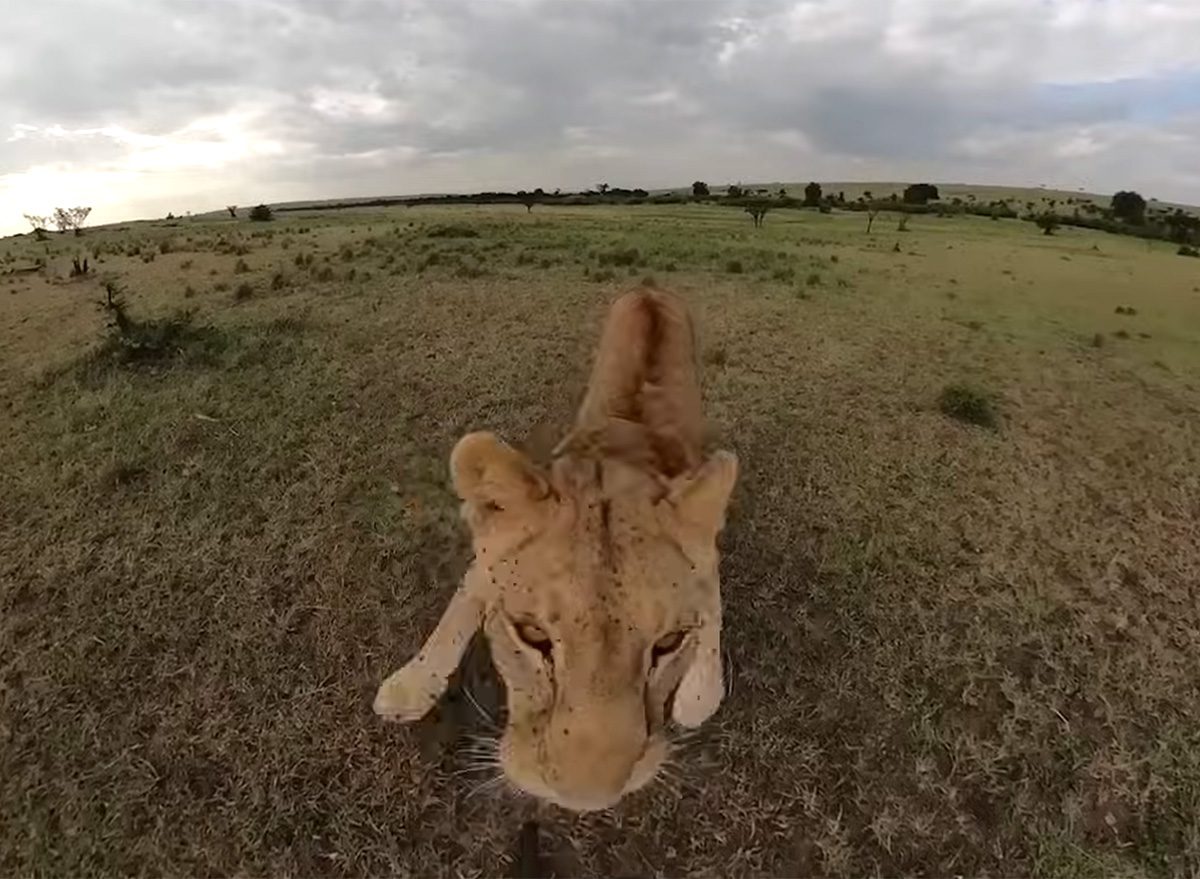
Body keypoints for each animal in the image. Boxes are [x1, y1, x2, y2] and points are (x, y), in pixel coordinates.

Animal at [373, 287, 737, 812]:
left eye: (668, 643)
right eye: (531, 634)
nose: (586, 799)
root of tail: (649, 286)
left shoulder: (706, 552)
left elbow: (711, 613)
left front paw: (699, 692)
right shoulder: (490, 553)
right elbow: (459, 607)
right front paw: (410, 686)